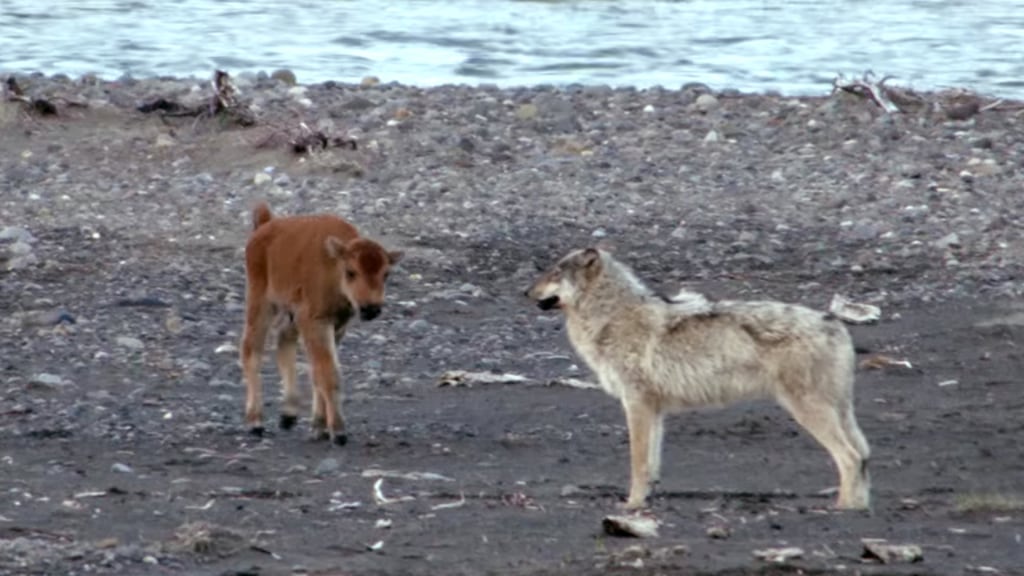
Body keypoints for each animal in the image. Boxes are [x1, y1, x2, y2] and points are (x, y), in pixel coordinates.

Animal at [240, 202, 403, 445]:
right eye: (351, 272)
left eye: (386, 274)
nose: (371, 308)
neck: (333, 268)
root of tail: (265, 225)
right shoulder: (315, 322)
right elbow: (328, 373)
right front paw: (338, 431)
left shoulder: (336, 327)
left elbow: (318, 371)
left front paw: (319, 427)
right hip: (262, 302)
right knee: (252, 350)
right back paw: (255, 422)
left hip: (291, 314)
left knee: (283, 341)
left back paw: (289, 414)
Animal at [526, 247, 871, 510]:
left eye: (555, 272)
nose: (525, 292)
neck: (611, 316)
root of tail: (835, 324)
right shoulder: (654, 410)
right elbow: (651, 464)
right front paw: (646, 500)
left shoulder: (636, 404)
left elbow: (638, 463)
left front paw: (632, 505)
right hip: (837, 411)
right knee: (864, 455)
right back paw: (860, 506)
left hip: (808, 411)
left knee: (850, 457)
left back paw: (843, 508)